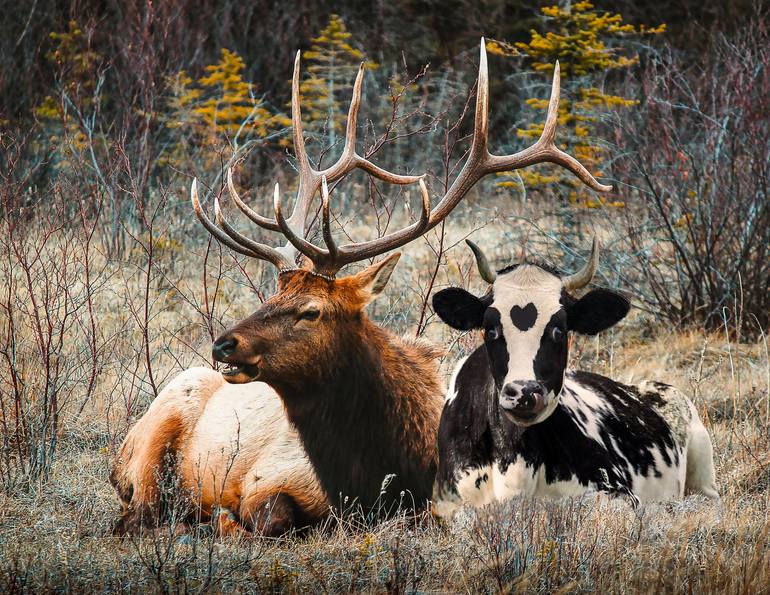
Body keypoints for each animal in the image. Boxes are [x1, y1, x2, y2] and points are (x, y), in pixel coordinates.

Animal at [111, 39, 611, 536]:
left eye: (311, 310)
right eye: (271, 297)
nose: (224, 345)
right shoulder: (266, 477)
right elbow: (265, 515)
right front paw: (219, 517)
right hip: (155, 433)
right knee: (137, 511)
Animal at [430, 238, 719, 519]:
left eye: (559, 329)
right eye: (490, 329)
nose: (523, 393)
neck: (515, 454)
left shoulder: (618, 493)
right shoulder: (444, 502)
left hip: (704, 474)